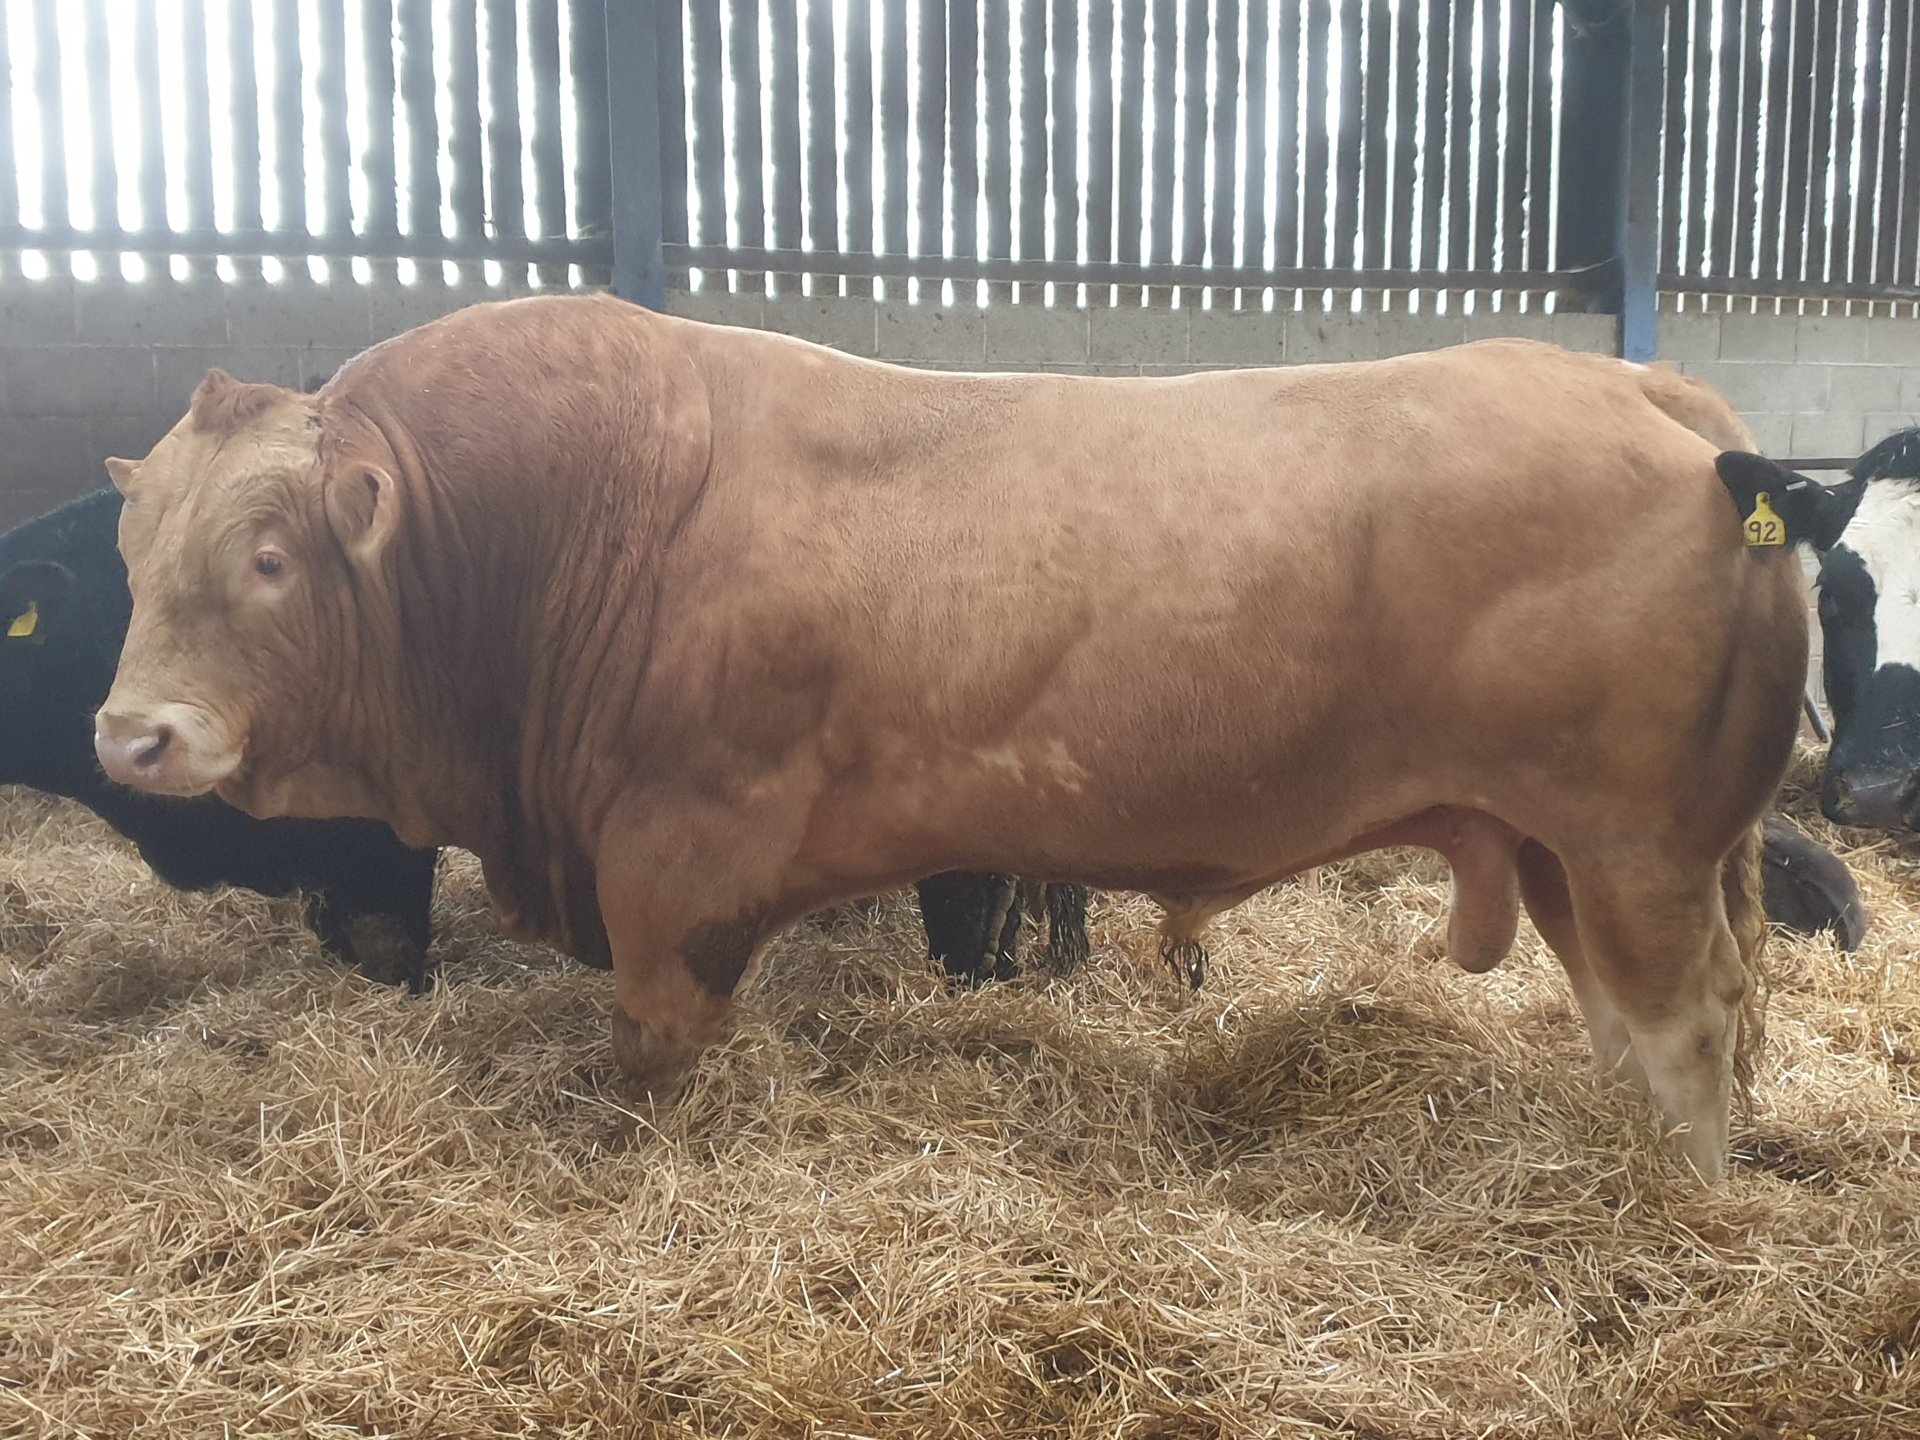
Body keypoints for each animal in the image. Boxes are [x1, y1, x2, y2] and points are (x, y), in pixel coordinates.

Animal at [93, 297, 1808, 1181]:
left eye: (268, 557)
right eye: (130, 549)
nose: (132, 733)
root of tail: (1642, 389)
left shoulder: (673, 861)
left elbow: (656, 1046)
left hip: (1639, 849)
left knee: (1690, 1028)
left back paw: (1686, 1201)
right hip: (1566, 847)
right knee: (1625, 1024)